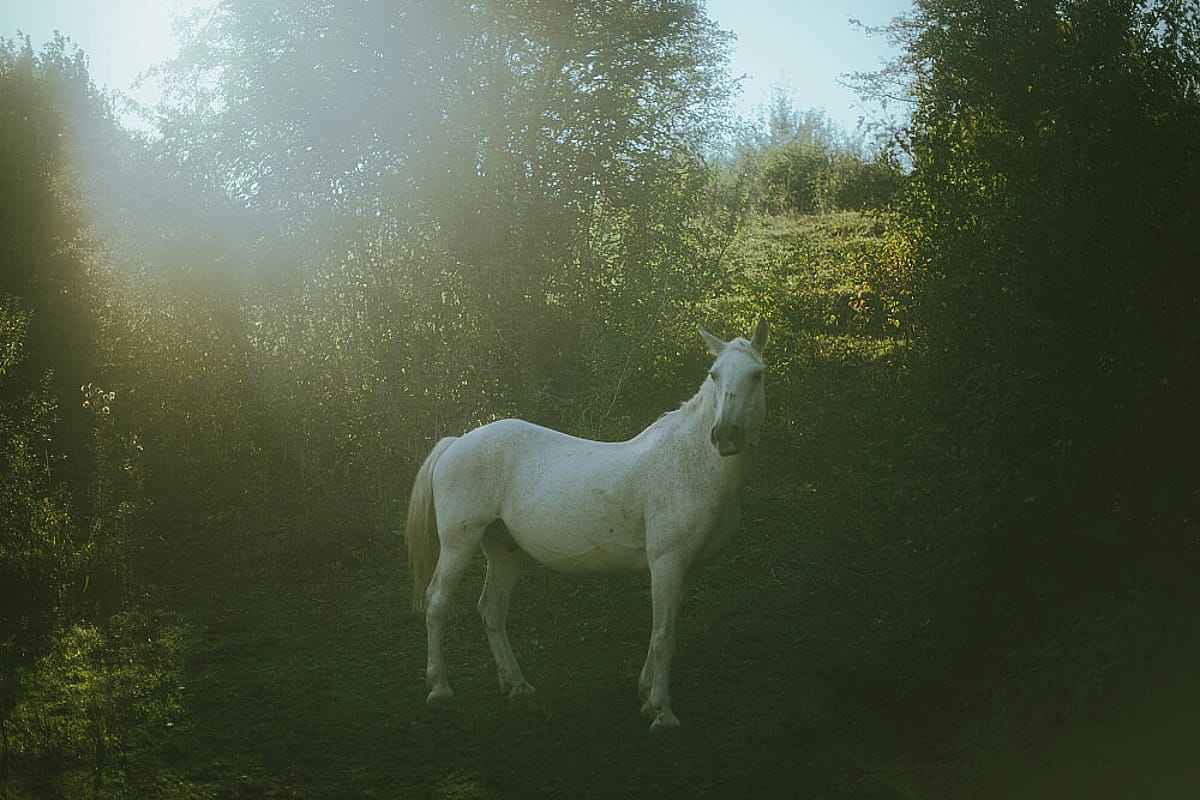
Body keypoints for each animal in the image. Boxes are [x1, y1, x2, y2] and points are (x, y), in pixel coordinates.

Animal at [405, 318, 768, 731]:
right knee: (437, 603)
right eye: (714, 374)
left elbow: (661, 631)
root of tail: (456, 442)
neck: (690, 464)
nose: (725, 436)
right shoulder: (667, 562)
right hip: (458, 542)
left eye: (757, 374)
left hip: (504, 547)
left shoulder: (688, 569)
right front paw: (663, 713)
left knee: (492, 610)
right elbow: (664, 637)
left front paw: (645, 695)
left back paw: (519, 688)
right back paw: (440, 689)